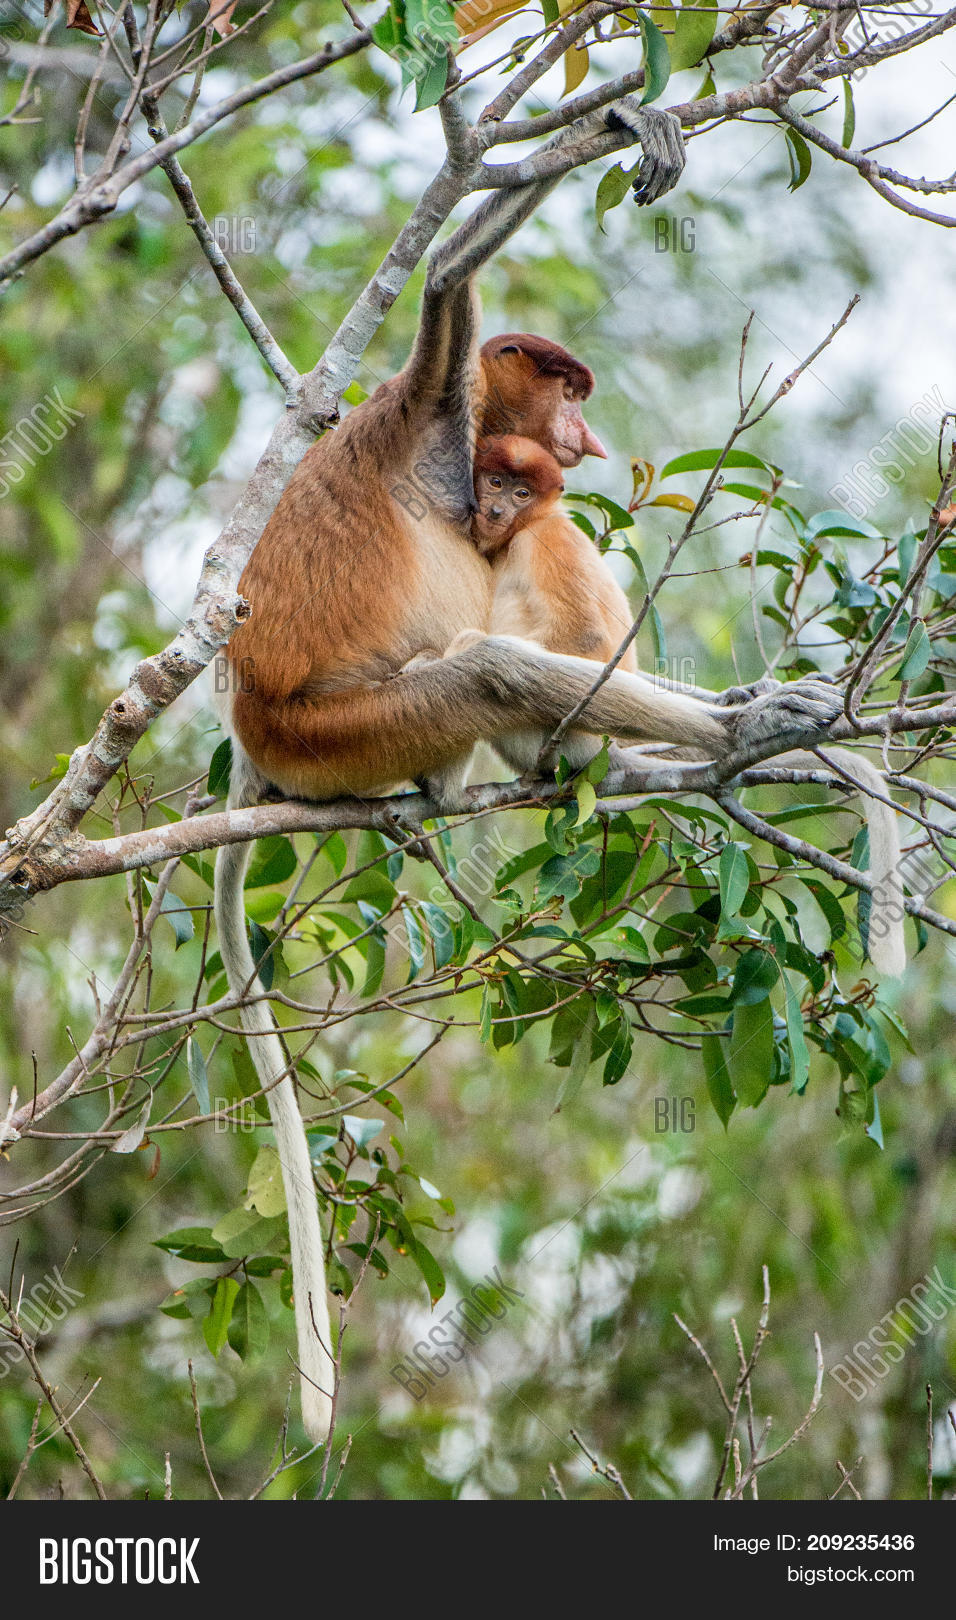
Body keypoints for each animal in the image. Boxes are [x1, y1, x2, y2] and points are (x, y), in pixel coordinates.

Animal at [214, 102, 861, 1440]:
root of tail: (250, 728)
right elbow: (445, 287)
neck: (467, 452)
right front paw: (617, 119)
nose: (584, 434)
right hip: (341, 730)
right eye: (560, 384)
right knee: (489, 670)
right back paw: (738, 738)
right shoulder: (431, 406)